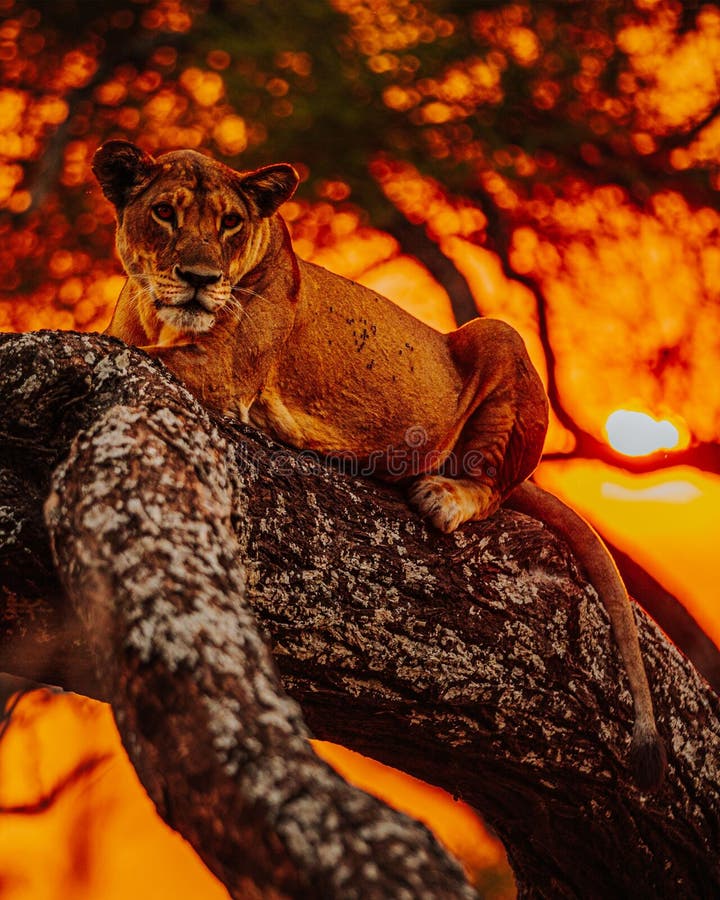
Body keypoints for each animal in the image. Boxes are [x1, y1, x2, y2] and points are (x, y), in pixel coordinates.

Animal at [93, 140, 666, 791]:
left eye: (230, 223)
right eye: (164, 213)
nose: (200, 279)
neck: (157, 312)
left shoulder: (218, 373)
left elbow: (113, 344)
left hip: (497, 337)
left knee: (493, 485)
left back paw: (443, 495)